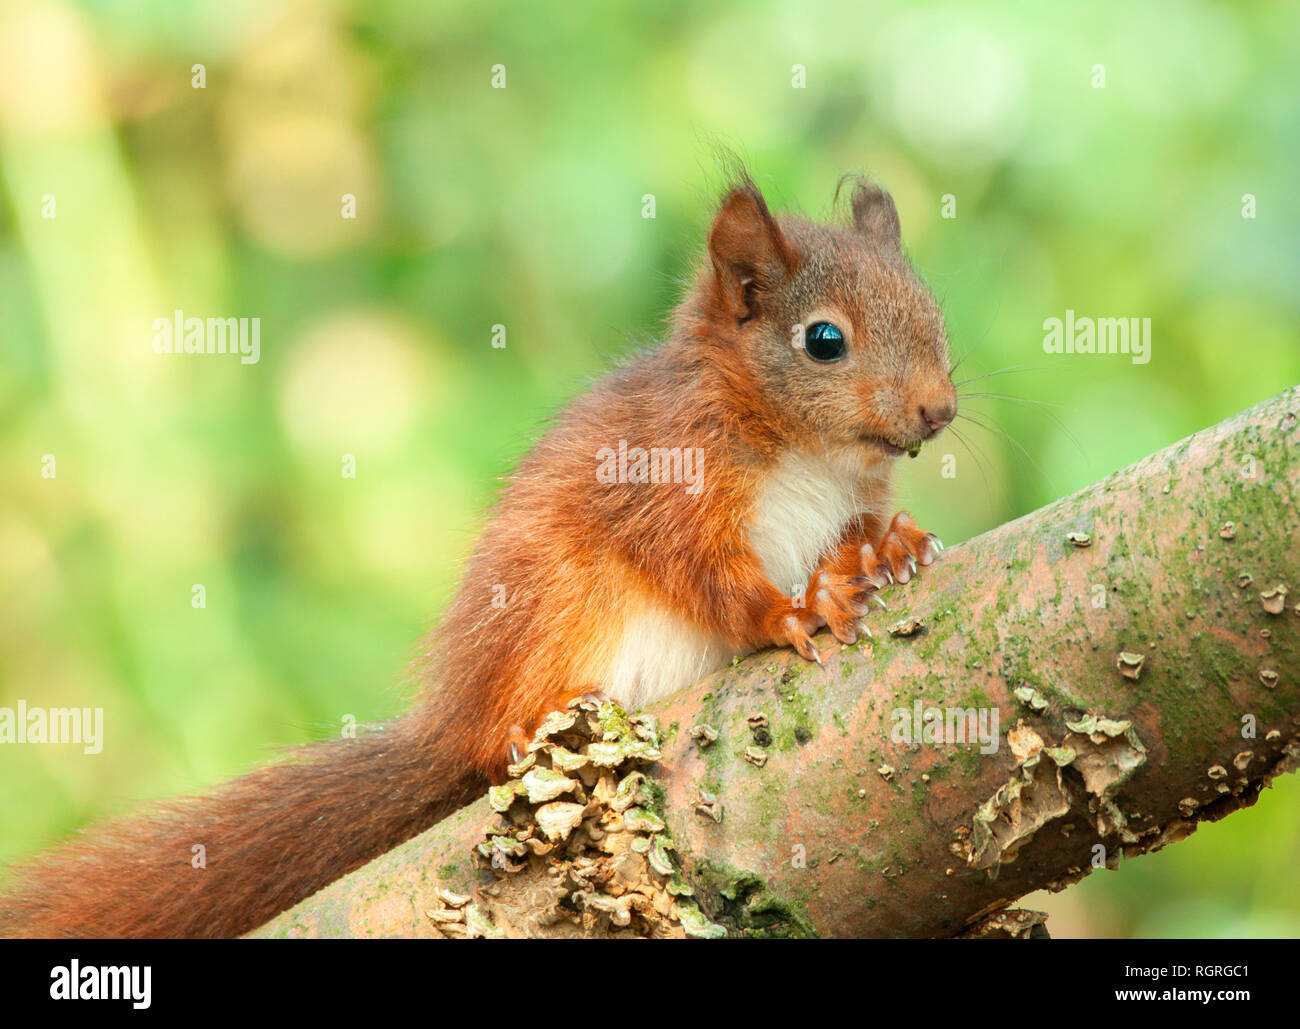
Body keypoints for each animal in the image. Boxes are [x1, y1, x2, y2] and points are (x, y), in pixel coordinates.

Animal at [0, 173, 956, 938]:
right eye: (824, 340)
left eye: (933, 314)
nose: (940, 411)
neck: (806, 450)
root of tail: (452, 724)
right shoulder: (665, 484)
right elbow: (707, 577)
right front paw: (792, 608)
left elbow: (855, 532)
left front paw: (887, 547)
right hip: (550, 613)